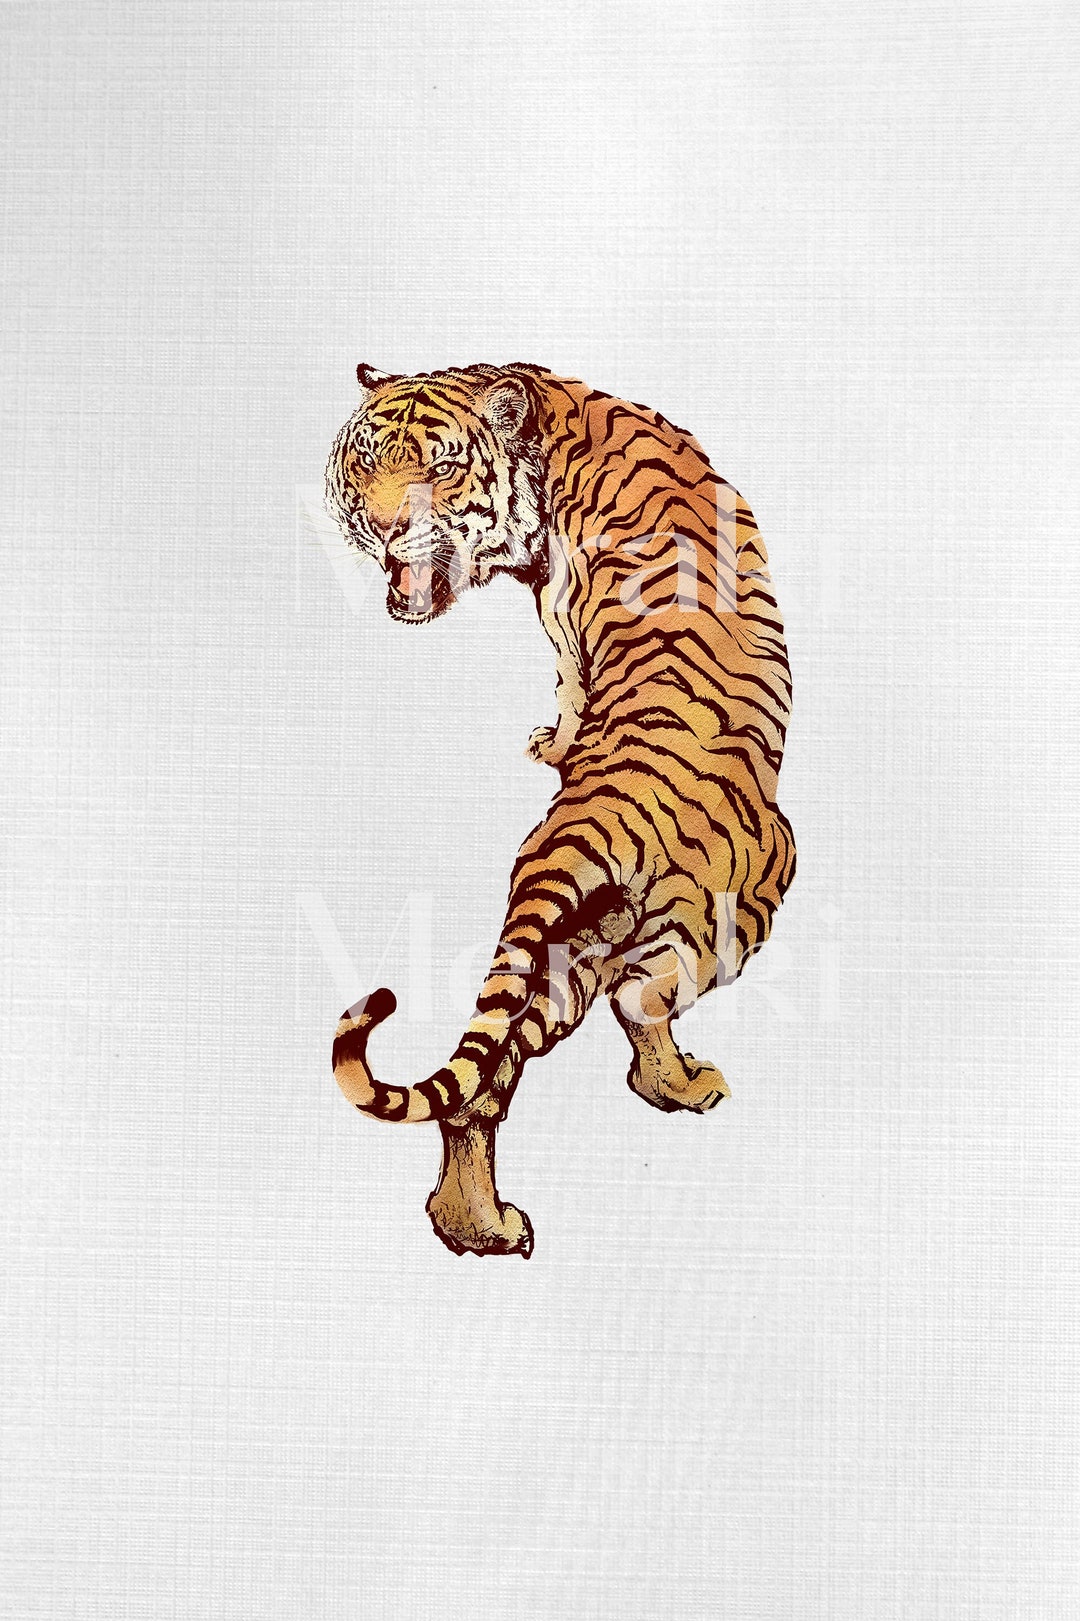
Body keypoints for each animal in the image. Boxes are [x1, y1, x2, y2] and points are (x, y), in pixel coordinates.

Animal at [324, 362, 796, 1258]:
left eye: (440, 468)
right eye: (365, 462)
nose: (381, 525)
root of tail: (592, 821)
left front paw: (551, 743)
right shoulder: (563, 616)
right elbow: (572, 685)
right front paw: (558, 739)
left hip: (560, 957)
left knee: (482, 1086)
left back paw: (476, 1227)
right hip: (740, 893)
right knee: (641, 1006)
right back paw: (682, 1088)